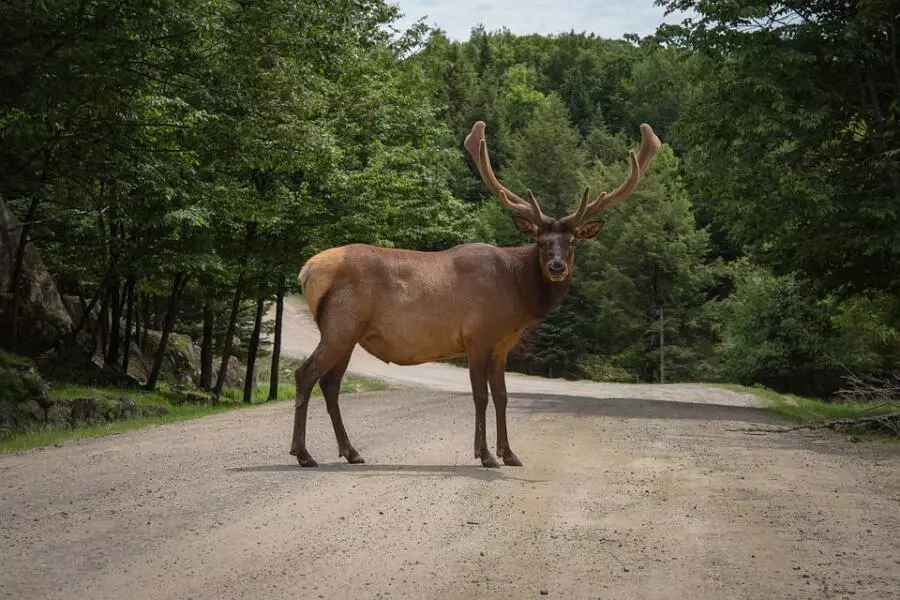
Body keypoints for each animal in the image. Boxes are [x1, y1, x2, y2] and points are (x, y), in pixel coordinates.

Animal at [290, 119, 660, 466]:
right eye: (541, 241)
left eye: (571, 243)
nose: (557, 267)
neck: (518, 295)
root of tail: (307, 271)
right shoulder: (477, 335)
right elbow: (480, 396)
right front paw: (485, 455)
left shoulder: (502, 344)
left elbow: (503, 396)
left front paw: (510, 453)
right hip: (340, 325)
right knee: (306, 374)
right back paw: (303, 453)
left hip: (348, 332)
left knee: (330, 384)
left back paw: (350, 451)